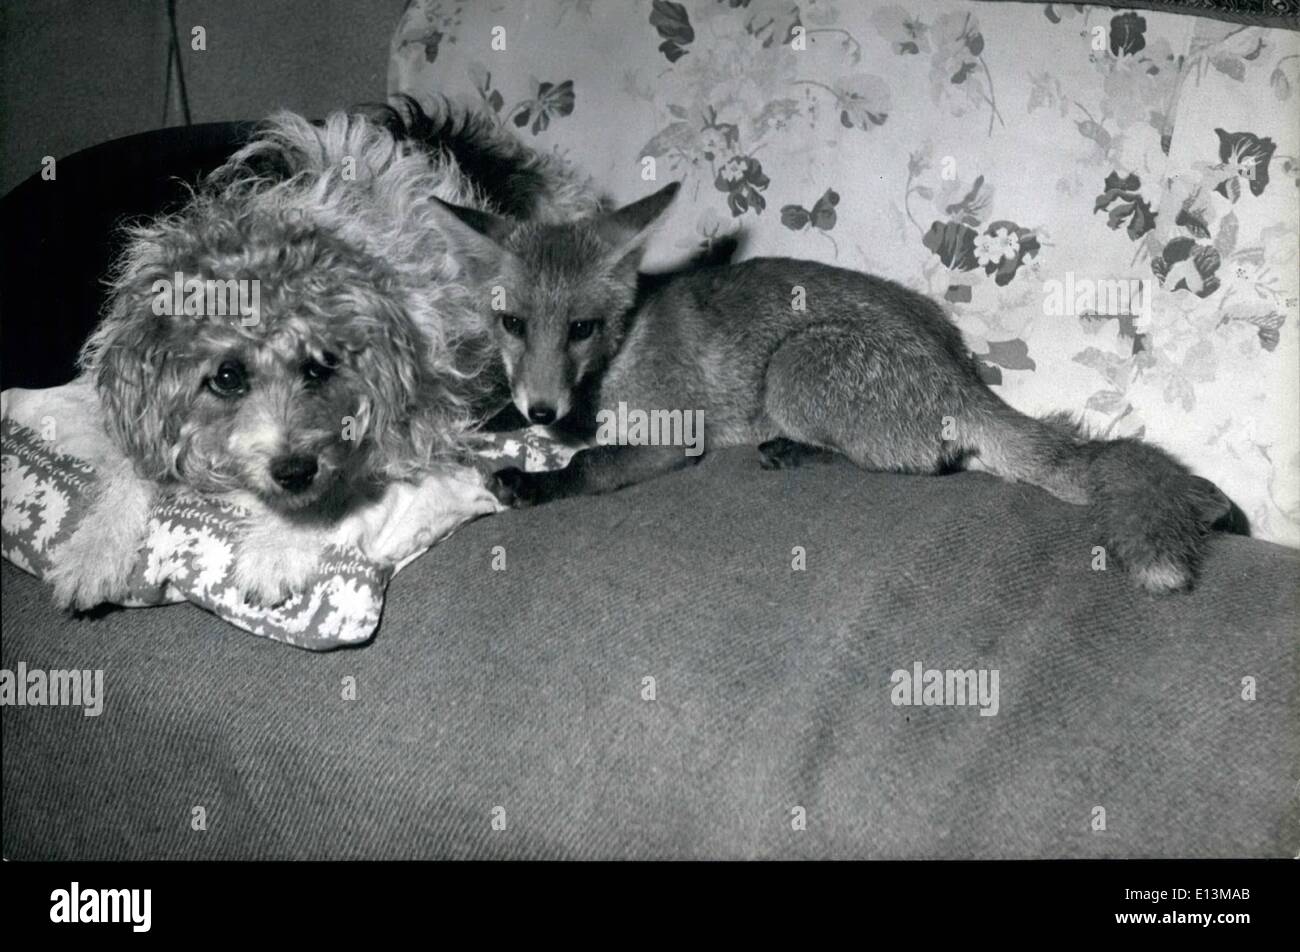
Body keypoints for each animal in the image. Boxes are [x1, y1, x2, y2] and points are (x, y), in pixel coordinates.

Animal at [431, 181, 1233, 594]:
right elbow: (521, 422)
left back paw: (794, 451)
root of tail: (961, 373)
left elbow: (590, 463)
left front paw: (530, 483)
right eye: (510, 323)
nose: (542, 404)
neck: (623, 351)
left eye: (582, 329)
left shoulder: (668, 437)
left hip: (794, 369)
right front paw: (489, 422)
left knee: (923, 464)